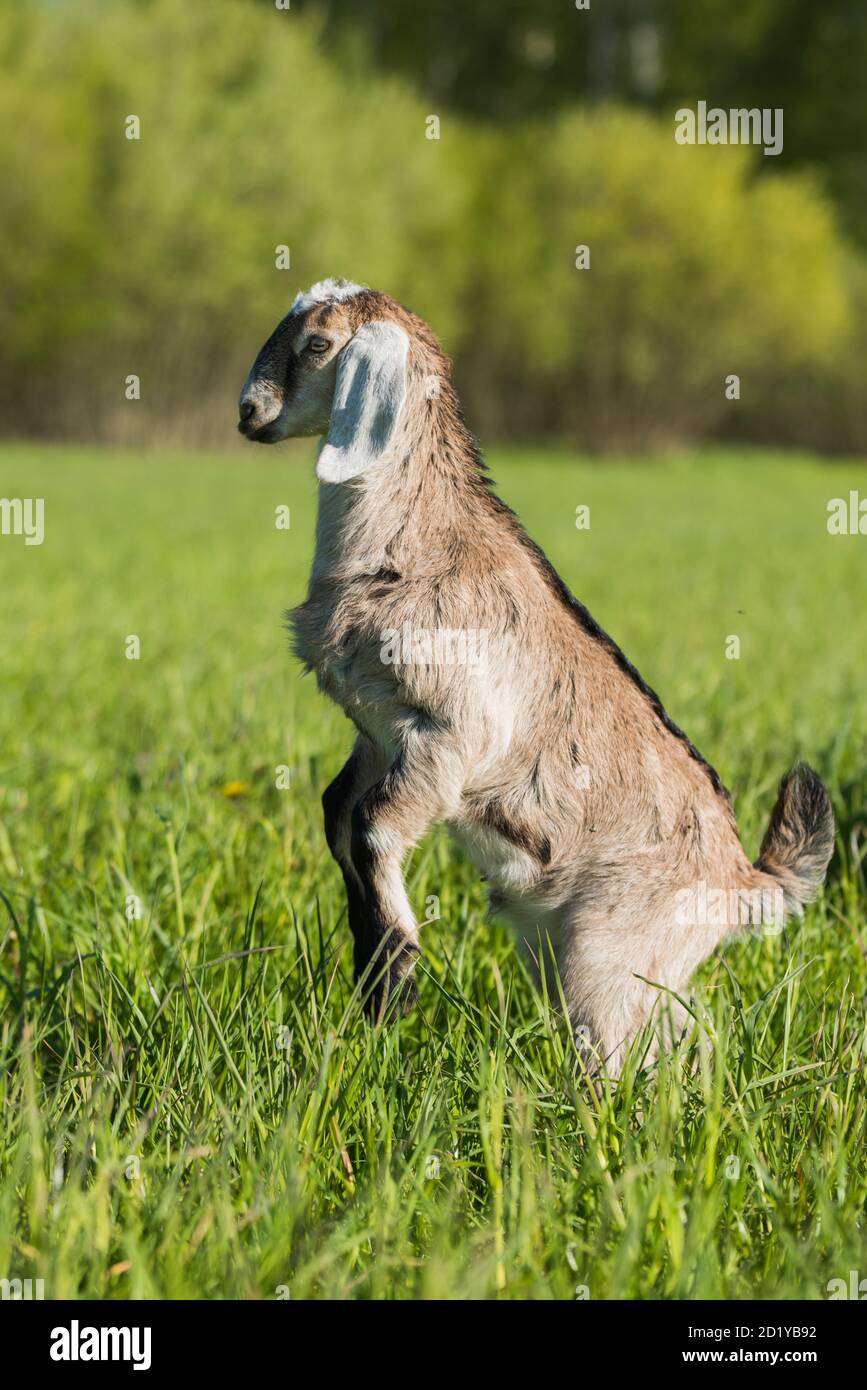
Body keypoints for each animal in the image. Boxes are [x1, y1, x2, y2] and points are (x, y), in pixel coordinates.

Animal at [238, 277, 835, 1074]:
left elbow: (373, 828)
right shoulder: (376, 731)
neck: (418, 539)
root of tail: (740, 881)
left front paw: (396, 979)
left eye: (316, 344)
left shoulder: (452, 737)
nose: (248, 413)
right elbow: (339, 811)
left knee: (625, 1049)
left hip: (604, 957)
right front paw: (371, 965)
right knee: (685, 1031)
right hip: (599, 959)